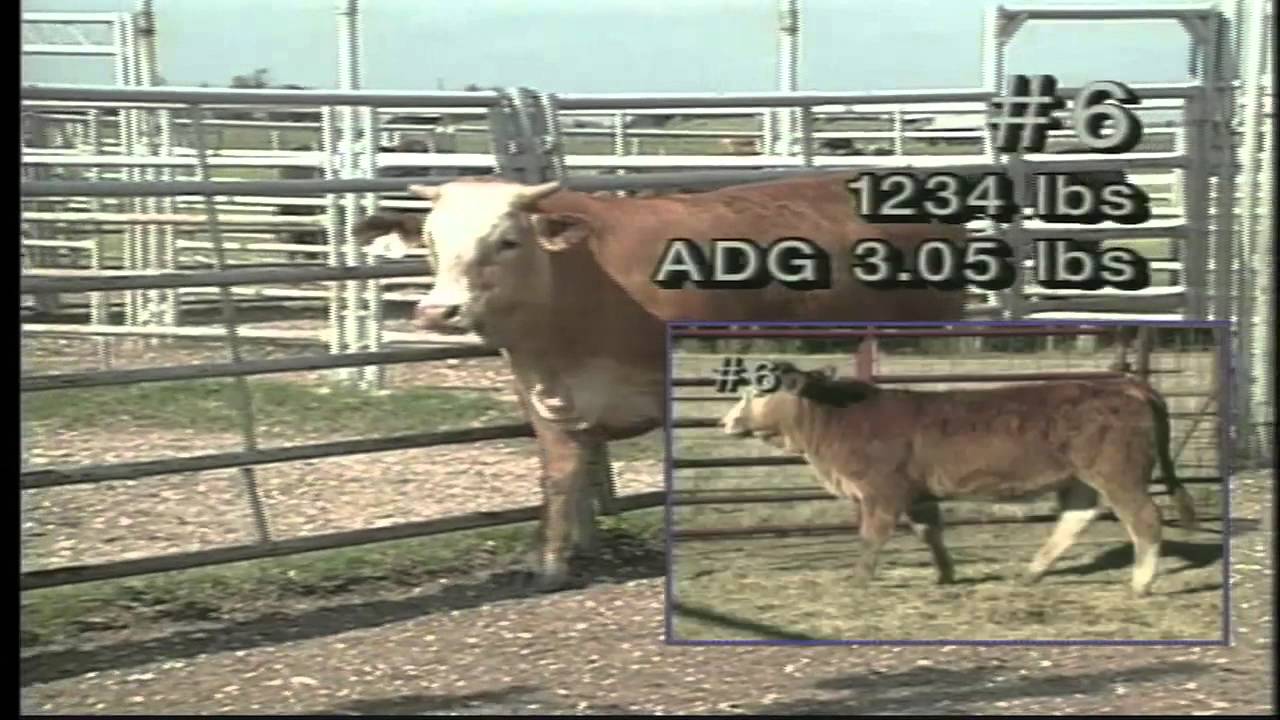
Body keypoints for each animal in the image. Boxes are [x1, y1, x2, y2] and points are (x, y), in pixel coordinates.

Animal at [718, 361, 1199, 596]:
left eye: (758, 390)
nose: (725, 421)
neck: (837, 419)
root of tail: (1126, 385)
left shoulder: (882, 492)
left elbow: (872, 538)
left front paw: (857, 581)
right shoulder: (917, 494)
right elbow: (930, 532)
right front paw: (946, 575)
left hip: (1120, 476)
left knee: (1144, 520)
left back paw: (1141, 583)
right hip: (1082, 479)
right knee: (1075, 520)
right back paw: (1031, 574)